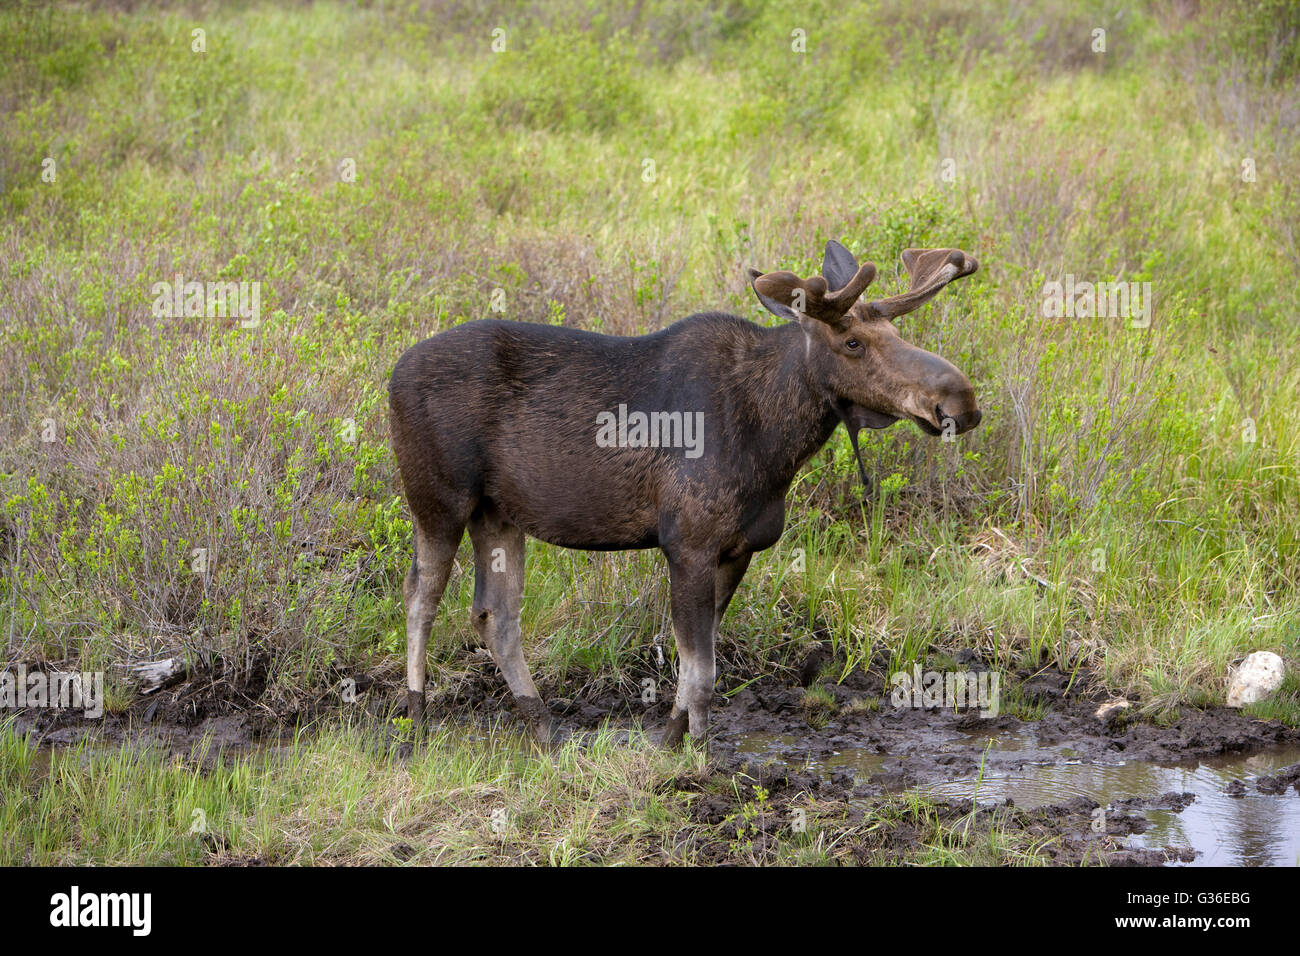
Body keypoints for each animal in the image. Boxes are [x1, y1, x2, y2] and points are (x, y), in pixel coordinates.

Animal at [388, 239, 981, 747]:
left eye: (900, 336)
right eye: (852, 342)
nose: (961, 401)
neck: (775, 440)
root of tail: (390, 375)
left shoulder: (738, 549)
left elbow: (697, 663)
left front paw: (669, 738)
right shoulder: (688, 542)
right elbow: (701, 671)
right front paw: (696, 753)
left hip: (499, 513)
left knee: (495, 614)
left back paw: (545, 727)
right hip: (438, 499)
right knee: (420, 595)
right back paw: (418, 717)